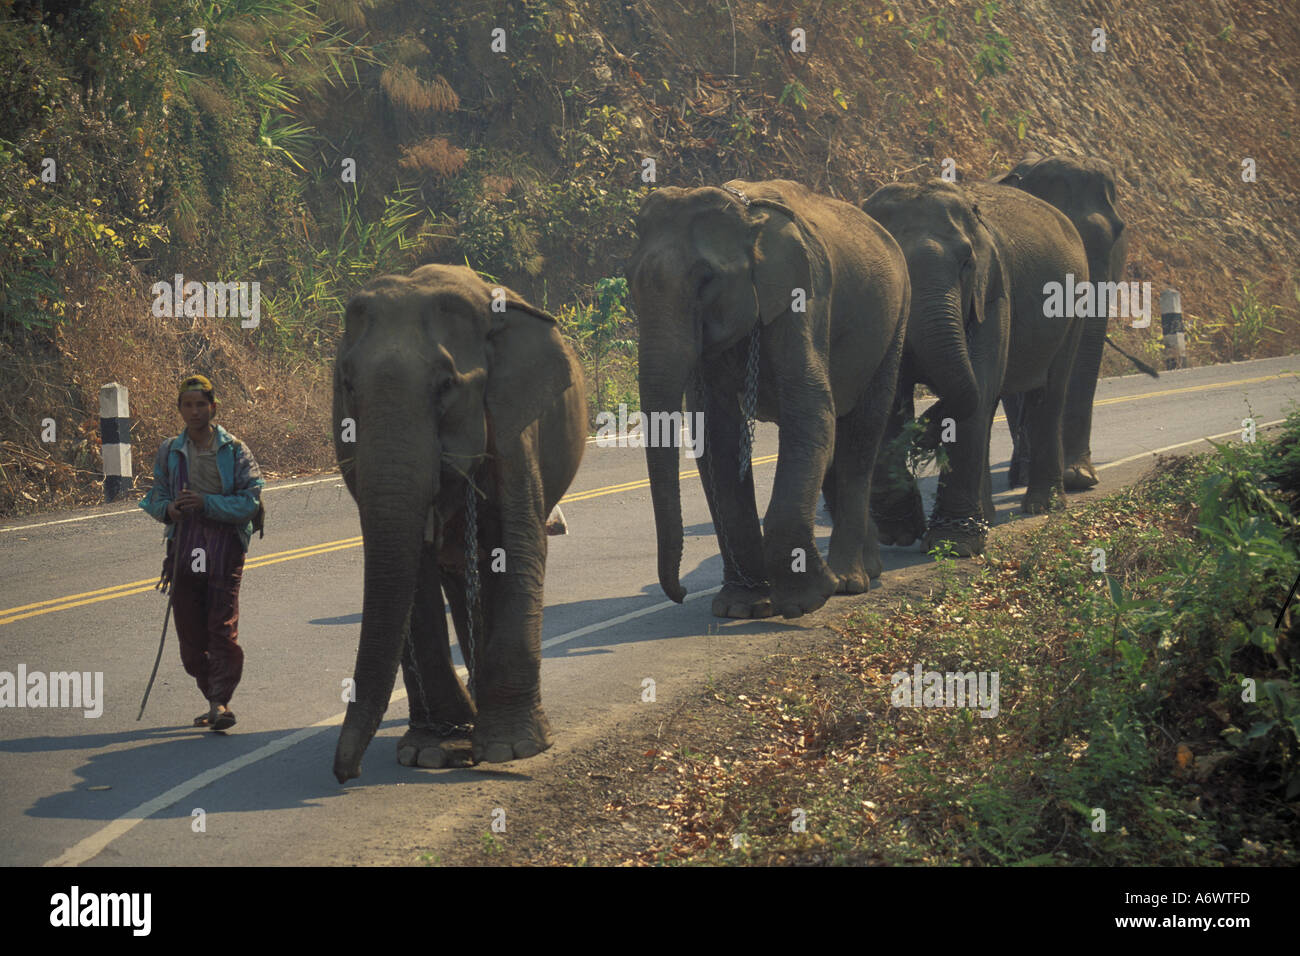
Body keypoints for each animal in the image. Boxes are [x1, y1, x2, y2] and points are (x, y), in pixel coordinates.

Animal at [330, 263, 586, 783]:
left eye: (446, 385)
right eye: (348, 387)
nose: (346, 773)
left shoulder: (513, 421)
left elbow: (519, 546)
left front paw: (510, 749)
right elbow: (411, 569)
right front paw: (431, 752)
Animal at [627, 179, 910, 620]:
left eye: (706, 279)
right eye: (629, 281)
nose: (681, 592)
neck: (746, 217)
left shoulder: (802, 298)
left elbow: (810, 411)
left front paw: (802, 602)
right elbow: (718, 435)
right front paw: (739, 608)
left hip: (894, 323)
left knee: (861, 433)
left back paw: (849, 581)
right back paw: (866, 569)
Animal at [863, 179, 1088, 556]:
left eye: (967, 262)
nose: (925, 430)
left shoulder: (995, 293)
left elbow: (976, 390)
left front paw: (954, 544)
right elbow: (889, 397)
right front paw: (899, 534)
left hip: (1074, 310)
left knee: (1047, 394)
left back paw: (1043, 505)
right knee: (992, 400)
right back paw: (990, 516)